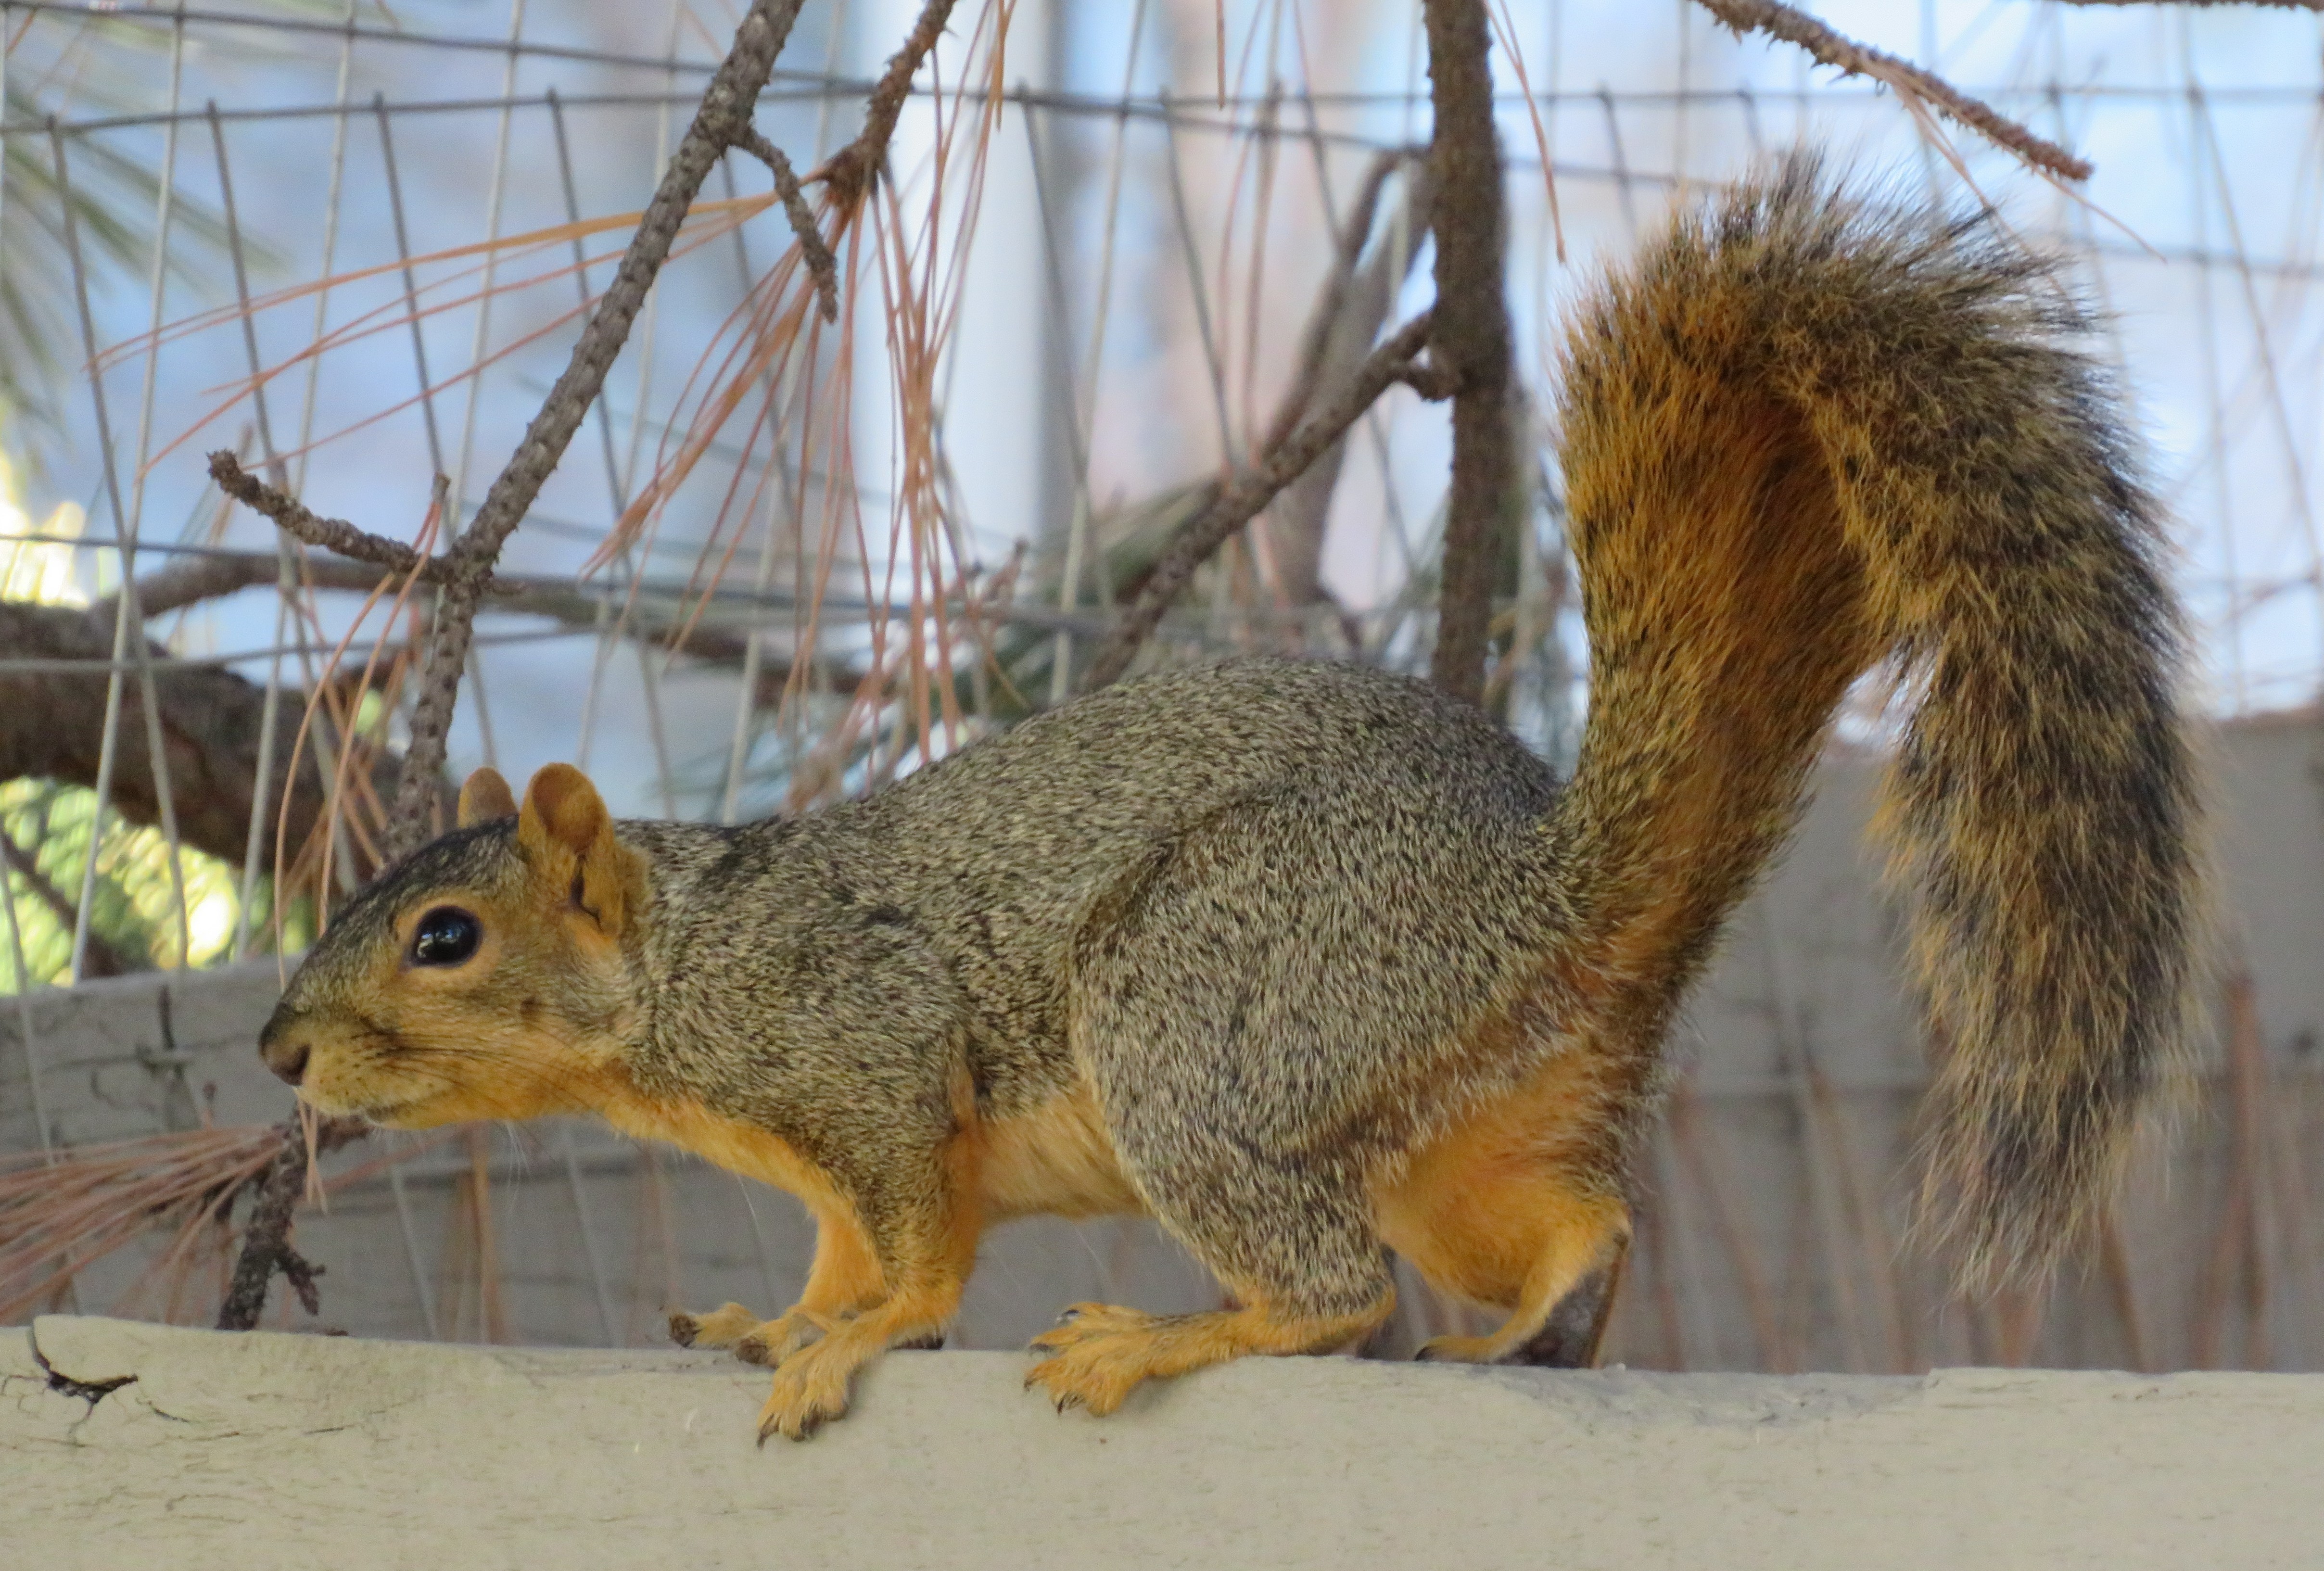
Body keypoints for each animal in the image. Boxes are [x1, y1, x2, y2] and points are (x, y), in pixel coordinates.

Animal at [258, 155, 2197, 1441]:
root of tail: (1544, 884)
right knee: (1567, 1221)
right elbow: (830, 1248)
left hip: (1206, 1001)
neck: (685, 970)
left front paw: (857, 1338)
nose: (278, 1050)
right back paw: (1513, 1332)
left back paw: (1160, 1337)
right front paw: (769, 1315)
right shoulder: (819, 1153)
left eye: (445, 934)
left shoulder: (868, 1040)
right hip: (1448, 1127)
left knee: (1333, 1289)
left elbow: (916, 1248)